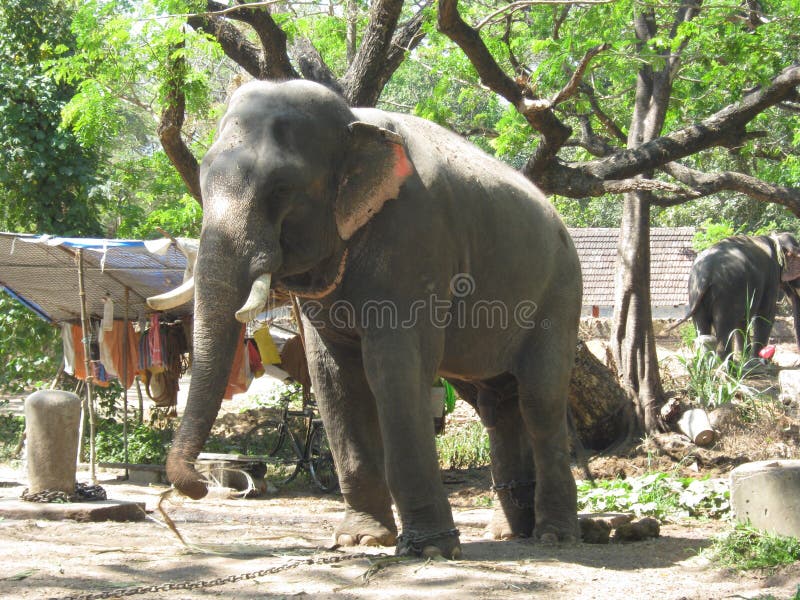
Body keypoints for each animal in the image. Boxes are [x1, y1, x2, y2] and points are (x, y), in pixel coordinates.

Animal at [148, 79, 582, 558]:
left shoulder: (415, 239)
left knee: (539, 398)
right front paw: (361, 539)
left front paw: (430, 549)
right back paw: (508, 532)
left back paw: (555, 535)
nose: (198, 486)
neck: (353, 120)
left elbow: (393, 370)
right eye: (202, 180)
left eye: (280, 189)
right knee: (496, 404)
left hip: (559, 295)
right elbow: (334, 377)